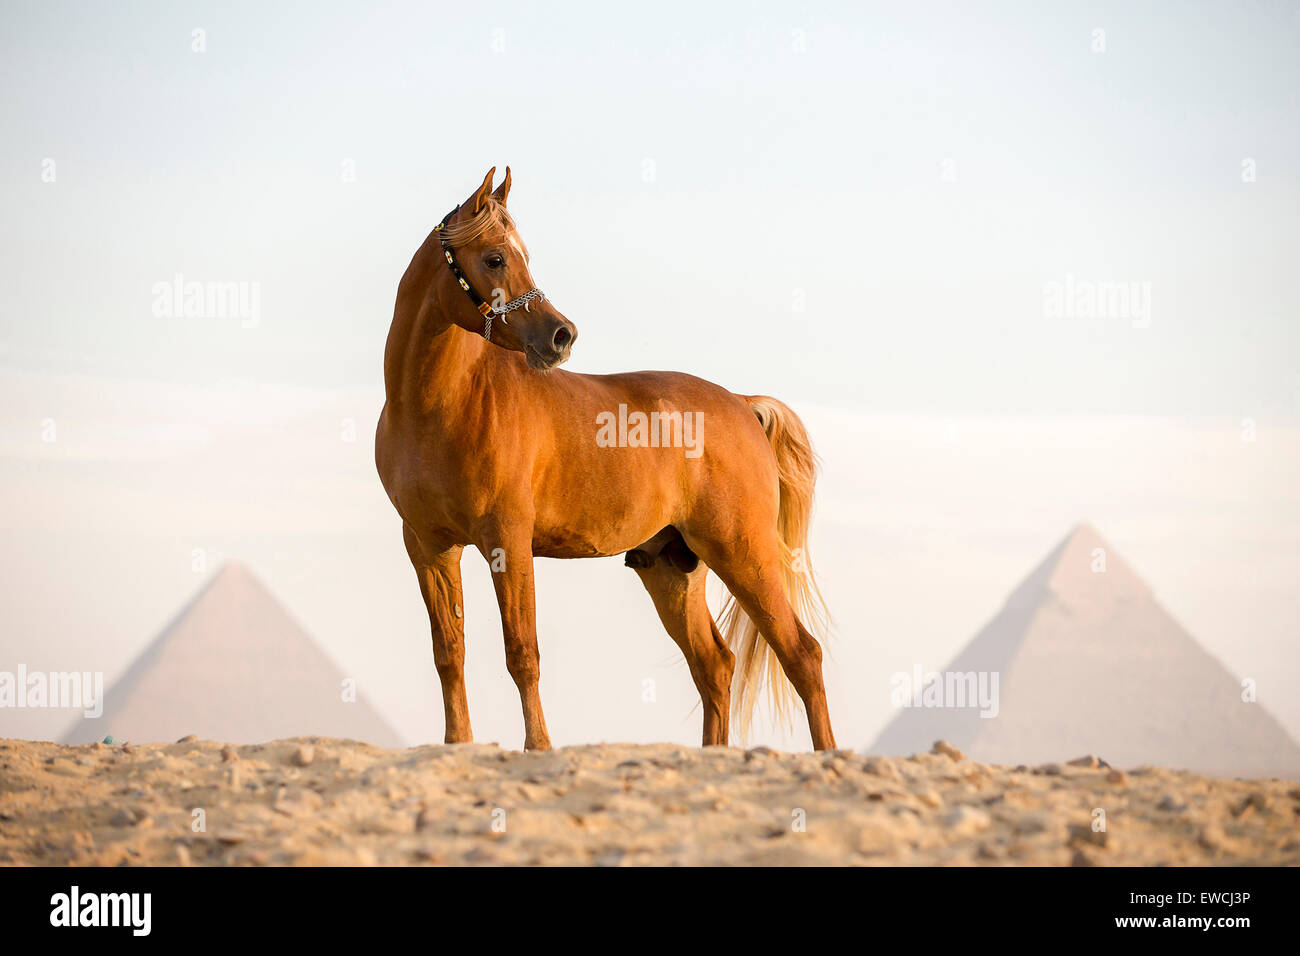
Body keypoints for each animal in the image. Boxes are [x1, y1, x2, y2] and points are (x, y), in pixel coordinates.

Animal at [375, 167, 837, 751]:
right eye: (495, 257)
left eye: (522, 254)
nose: (560, 335)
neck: (441, 405)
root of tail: (741, 404)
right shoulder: (429, 547)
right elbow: (448, 652)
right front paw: (458, 743)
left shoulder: (507, 540)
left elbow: (522, 652)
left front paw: (539, 747)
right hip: (672, 567)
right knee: (715, 666)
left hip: (744, 553)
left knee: (802, 654)